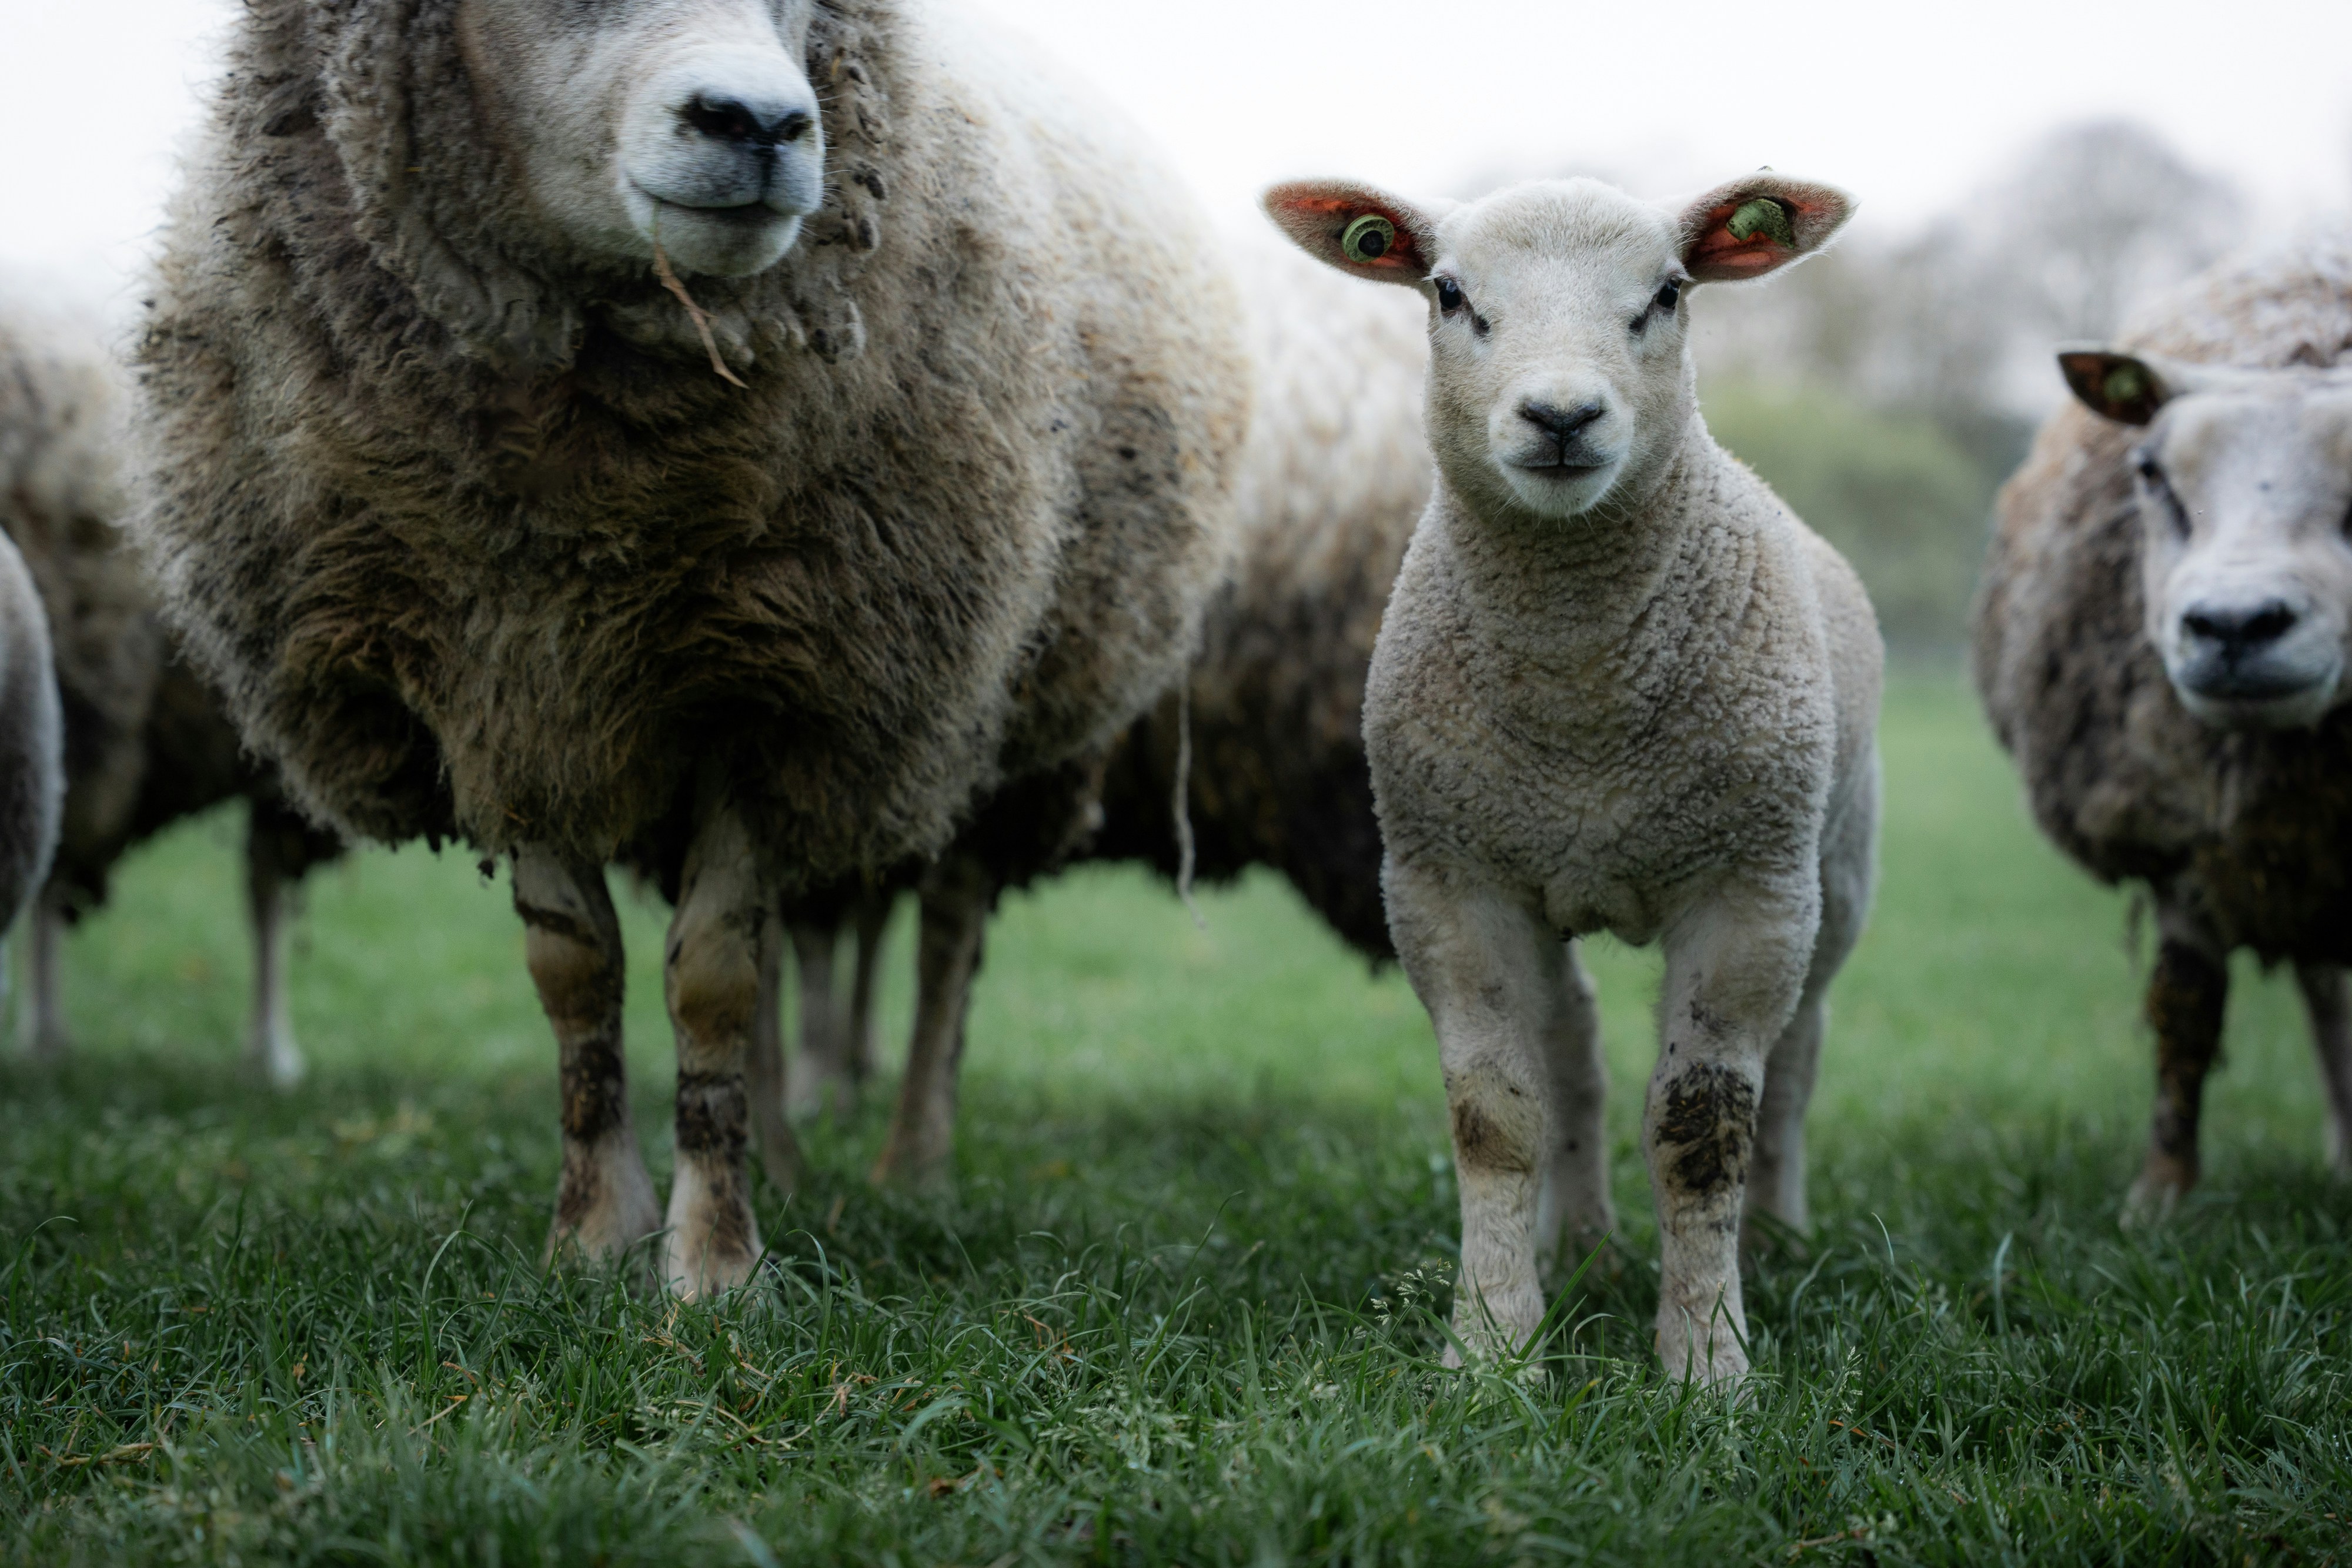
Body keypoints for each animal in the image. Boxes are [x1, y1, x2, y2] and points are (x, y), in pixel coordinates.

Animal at [130, 0, 1249, 1296]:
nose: (761, 124)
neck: (584, 507)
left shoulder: (781, 693)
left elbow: (714, 974)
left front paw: (713, 1265)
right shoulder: (509, 692)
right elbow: (579, 971)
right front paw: (595, 1234)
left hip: (981, 723)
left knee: (945, 942)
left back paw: (911, 1159)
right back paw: (791, 1161)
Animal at [1264, 172, 1882, 1385]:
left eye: (1670, 291)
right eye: (1448, 293)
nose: (1560, 418)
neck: (1582, 693)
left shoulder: (1749, 886)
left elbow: (1702, 1130)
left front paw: (1707, 1367)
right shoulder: (1448, 882)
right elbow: (1497, 1115)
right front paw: (1494, 1350)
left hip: (1831, 869)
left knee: (1798, 1056)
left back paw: (1777, 1240)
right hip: (1542, 867)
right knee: (1574, 1050)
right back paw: (1582, 1245)